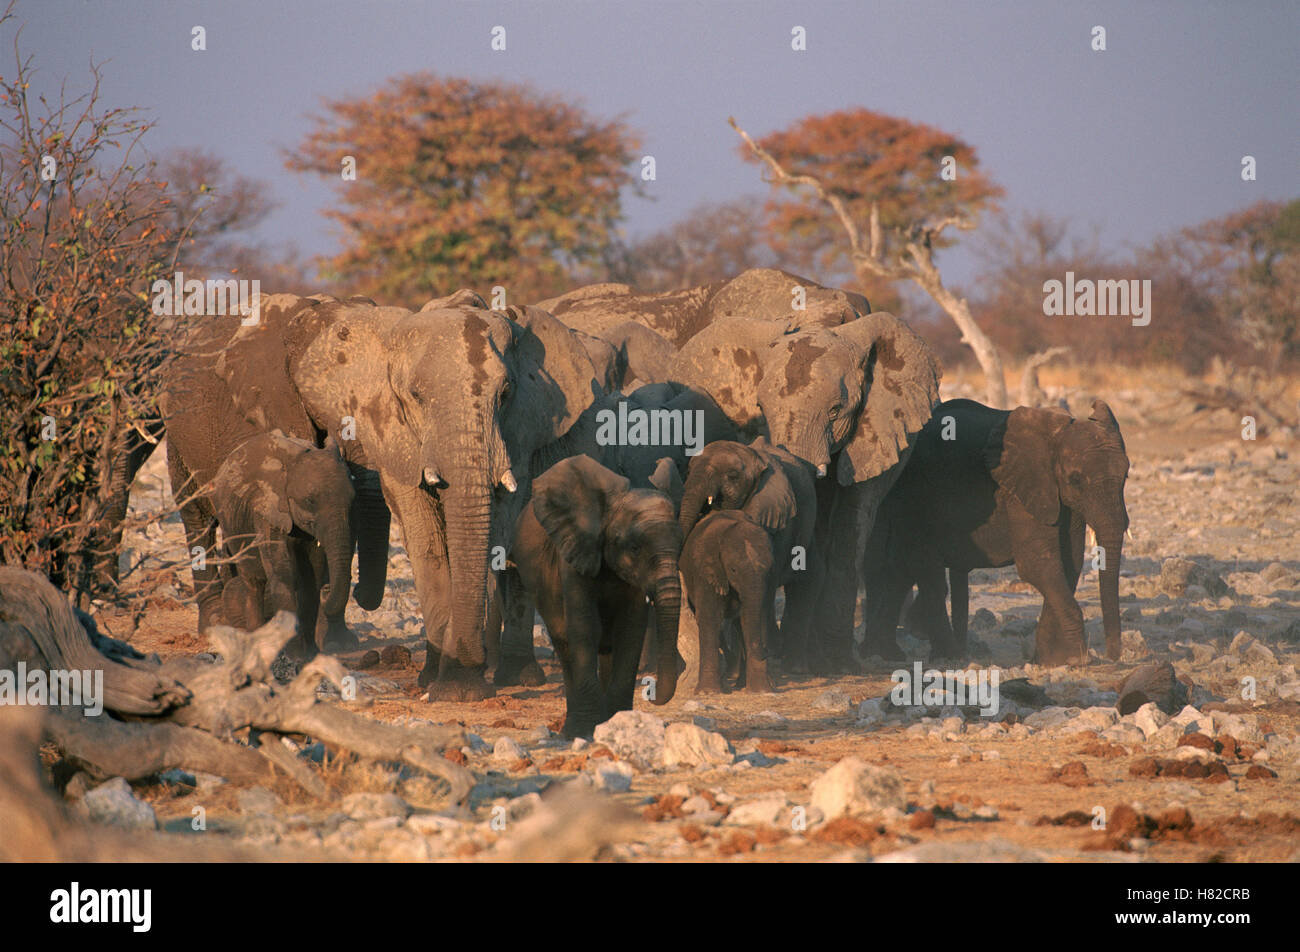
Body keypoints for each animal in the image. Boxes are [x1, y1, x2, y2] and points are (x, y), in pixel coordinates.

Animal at [211, 432, 357, 658]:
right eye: (310, 501)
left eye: (352, 500)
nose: (327, 589)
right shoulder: (266, 509)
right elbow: (282, 572)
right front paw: (295, 656)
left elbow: (313, 577)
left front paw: (311, 653)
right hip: (230, 521)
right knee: (253, 580)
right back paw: (255, 639)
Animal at [508, 455, 682, 738]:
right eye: (634, 548)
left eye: (680, 547)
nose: (649, 687)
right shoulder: (575, 551)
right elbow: (585, 627)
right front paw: (587, 730)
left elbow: (630, 630)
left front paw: (621, 724)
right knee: (565, 642)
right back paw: (572, 730)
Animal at [677, 437, 822, 671]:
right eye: (689, 470)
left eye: (732, 476)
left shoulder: (780, 517)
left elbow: (768, 578)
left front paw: (767, 653)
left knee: (808, 580)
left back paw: (792, 665)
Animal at [680, 509, 777, 694]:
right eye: (733, 570)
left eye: (769, 568)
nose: (767, 651)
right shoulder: (705, 572)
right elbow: (710, 617)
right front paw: (708, 693)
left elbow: (757, 615)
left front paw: (761, 691)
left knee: (740, 625)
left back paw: (741, 684)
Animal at [861, 398, 1130, 665]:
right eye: (1076, 480)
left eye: (1126, 476)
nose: (1113, 657)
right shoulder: (1019, 489)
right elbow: (1038, 563)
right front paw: (1076, 658)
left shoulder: (1062, 500)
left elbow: (1069, 561)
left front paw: (1050, 660)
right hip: (913, 498)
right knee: (926, 570)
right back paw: (948, 657)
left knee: (902, 571)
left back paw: (888, 653)